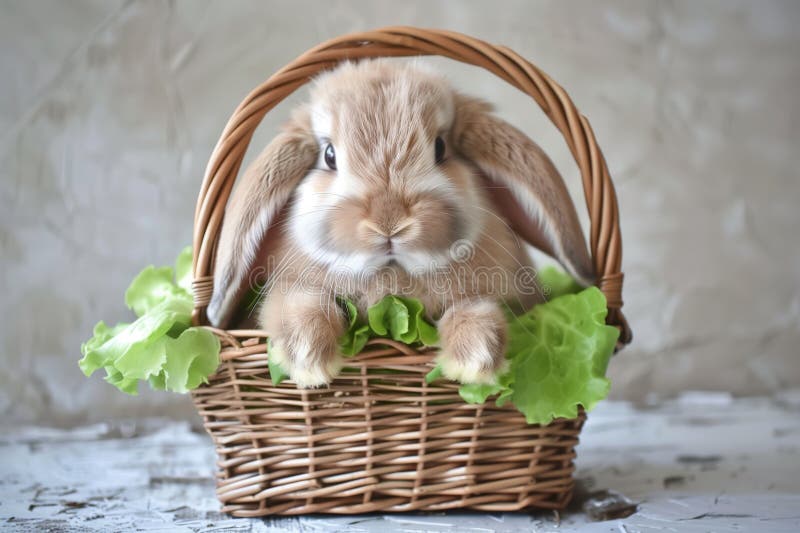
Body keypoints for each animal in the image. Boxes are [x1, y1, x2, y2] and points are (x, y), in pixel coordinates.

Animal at [207, 59, 594, 388]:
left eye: (440, 148)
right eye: (329, 156)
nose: (389, 223)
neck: (391, 276)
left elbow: (473, 310)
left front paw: (475, 359)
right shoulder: (287, 291)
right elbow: (297, 305)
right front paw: (309, 360)